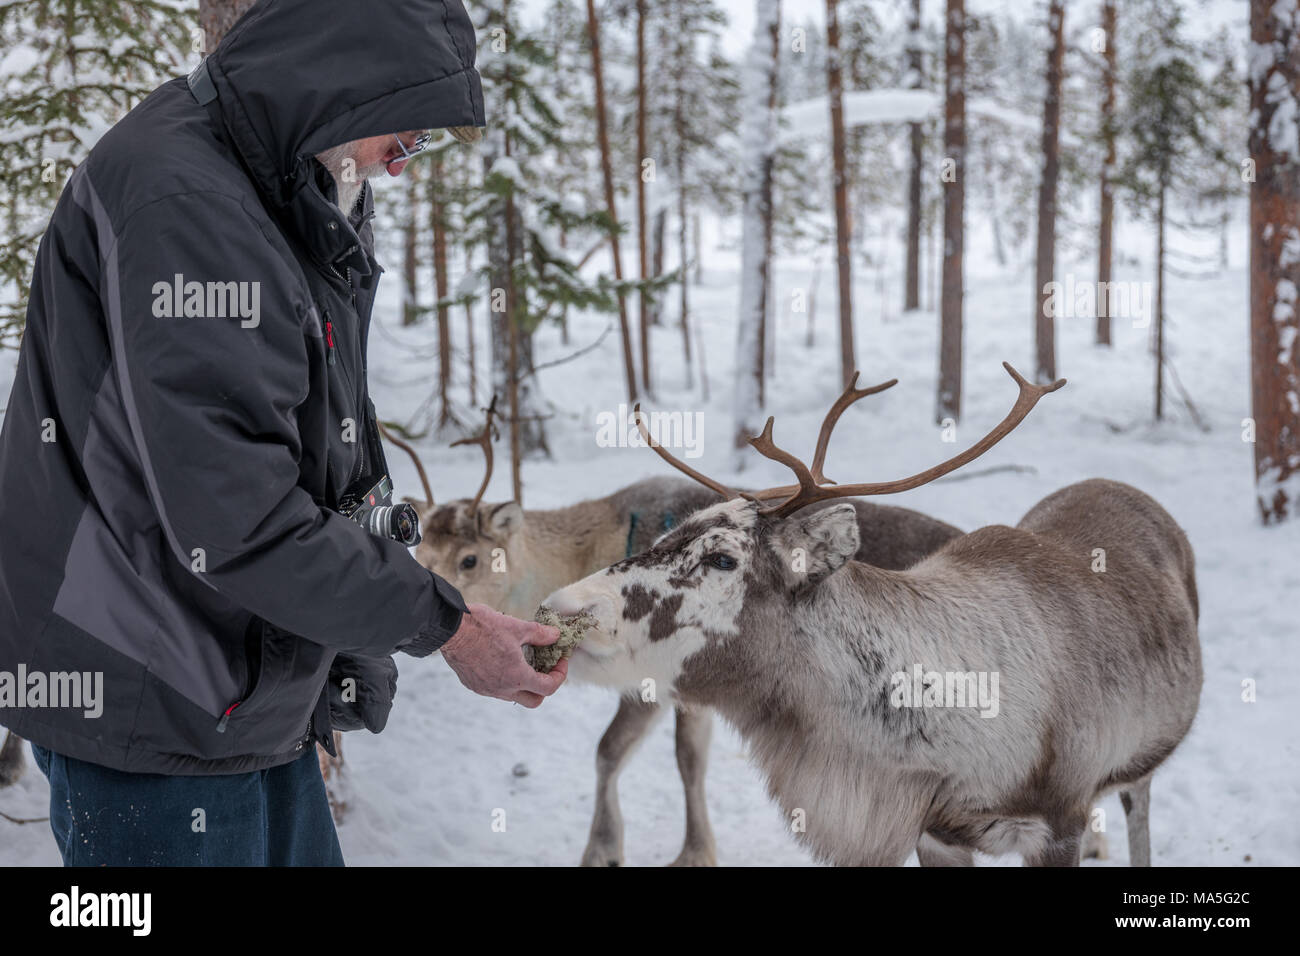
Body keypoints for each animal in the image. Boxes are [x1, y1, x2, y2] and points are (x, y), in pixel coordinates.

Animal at [401, 396, 974, 866]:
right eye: (422, 548)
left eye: (470, 558)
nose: (432, 596)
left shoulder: (665, 680)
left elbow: (645, 754)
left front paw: (633, 851)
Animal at [544, 363, 1203, 866]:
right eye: (668, 533)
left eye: (722, 557)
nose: (560, 607)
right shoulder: (936, 833)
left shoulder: (1056, 825)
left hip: (1140, 767)